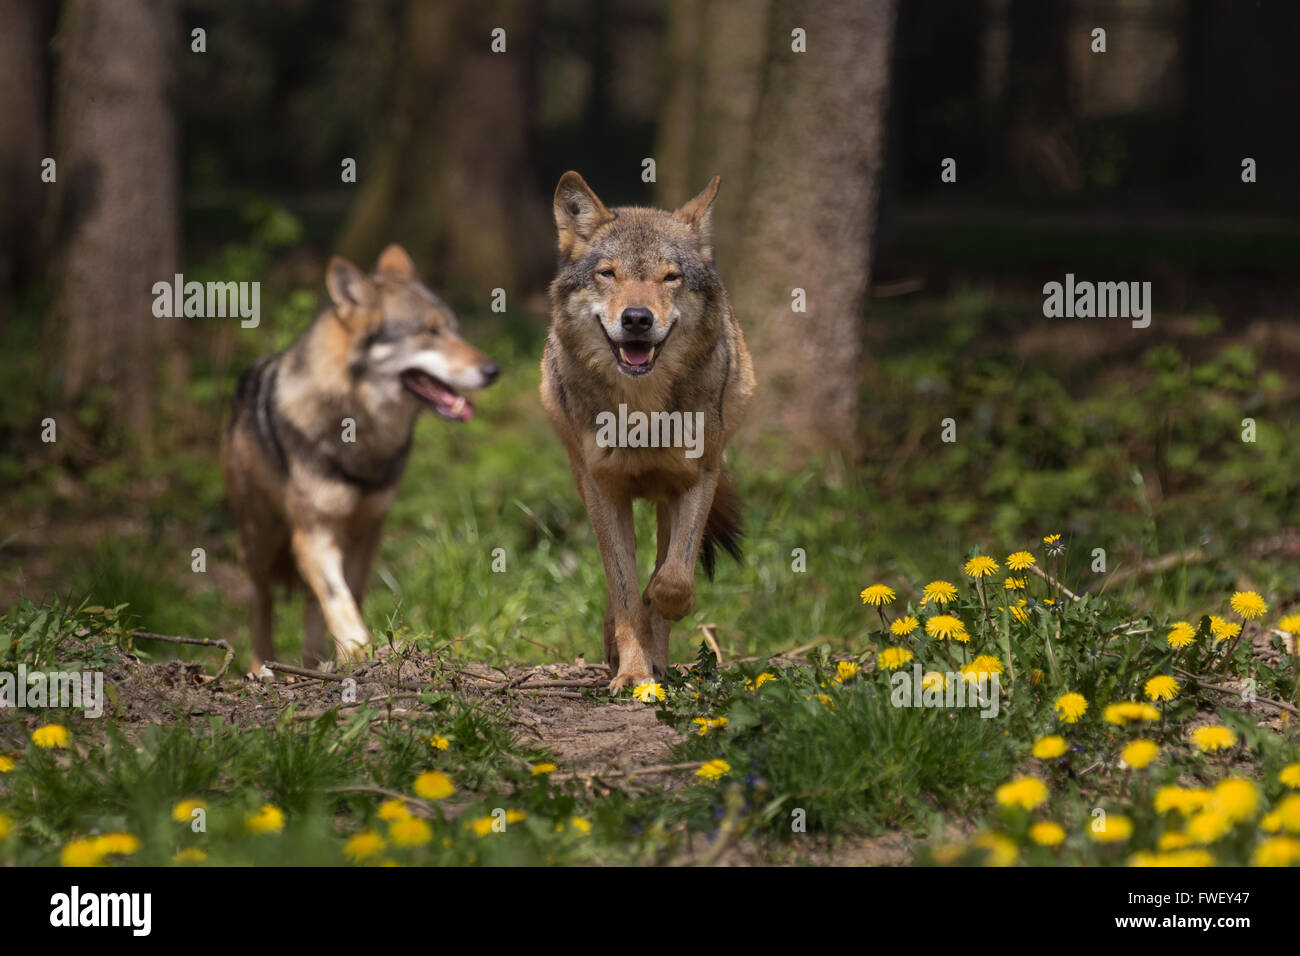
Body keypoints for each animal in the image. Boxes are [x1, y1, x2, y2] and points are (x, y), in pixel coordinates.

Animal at [221, 245, 498, 674]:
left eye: (454, 329)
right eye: (430, 331)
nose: (492, 370)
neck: (360, 432)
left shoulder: (368, 530)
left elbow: (347, 595)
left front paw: (351, 657)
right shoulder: (314, 532)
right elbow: (337, 597)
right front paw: (358, 652)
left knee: (309, 604)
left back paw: (312, 664)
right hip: (261, 539)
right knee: (261, 600)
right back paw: (262, 668)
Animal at [540, 171, 755, 692]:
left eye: (670, 277)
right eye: (608, 274)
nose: (637, 318)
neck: (642, 413)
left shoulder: (697, 478)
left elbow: (674, 579)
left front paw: (661, 612)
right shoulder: (603, 491)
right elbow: (622, 590)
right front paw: (632, 672)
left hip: (672, 493)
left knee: (665, 560)